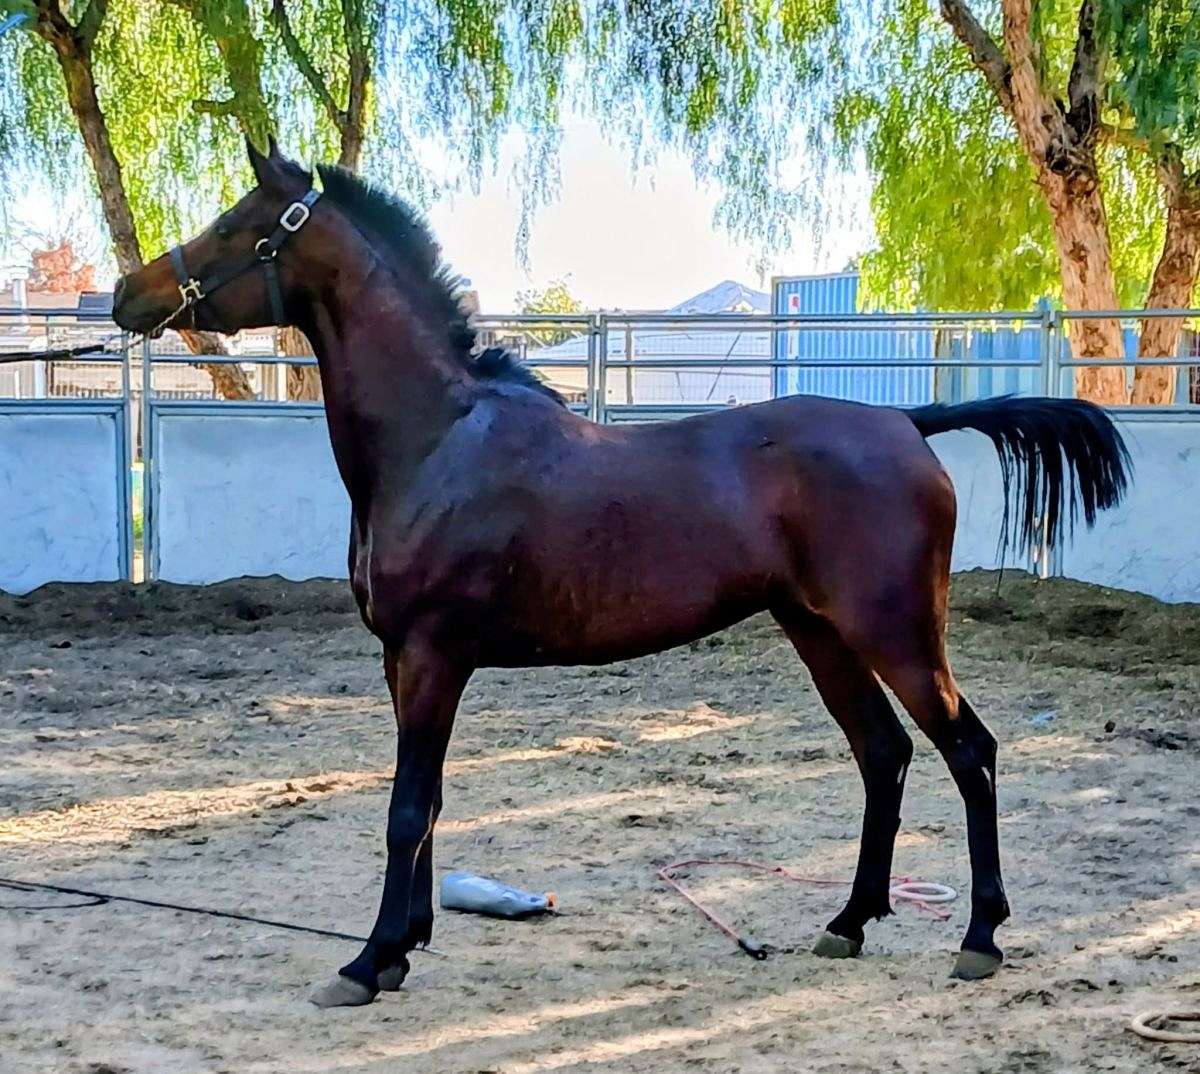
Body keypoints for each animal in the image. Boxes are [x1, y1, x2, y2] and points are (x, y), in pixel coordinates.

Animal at [113, 138, 1131, 1008]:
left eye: (237, 226)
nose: (127, 294)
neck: (439, 441)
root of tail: (906, 422)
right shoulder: (404, 662)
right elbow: (429, 802)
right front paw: (403, 945)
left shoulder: (433, 655)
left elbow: (406, 809)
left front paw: (366, 963)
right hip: (820, 633)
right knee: (883, 754)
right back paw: (847, 923)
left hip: (897, 634)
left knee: (969, 751)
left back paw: (981, 938)